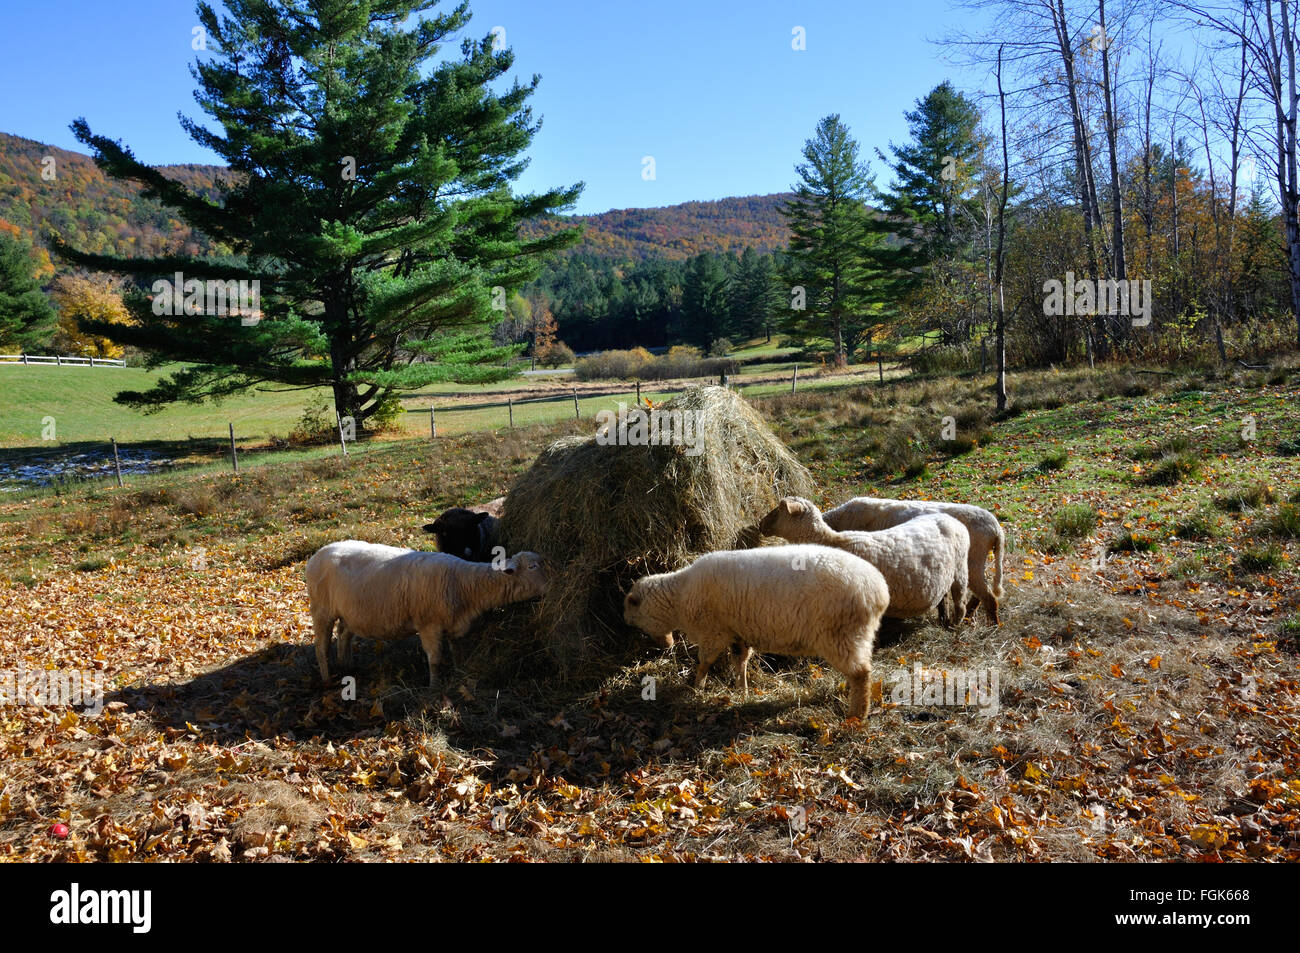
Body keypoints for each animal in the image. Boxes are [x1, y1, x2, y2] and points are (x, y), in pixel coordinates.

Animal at [305, 540, 547, 686]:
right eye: (533, 567)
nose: (551, 583)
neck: (464, 583)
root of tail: (317, 554)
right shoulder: (429, 625)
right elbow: (435, 659)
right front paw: (434, 686)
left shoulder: (453, 624)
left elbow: (457, 651)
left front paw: (459, 672)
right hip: (321, 610)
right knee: (321, 646)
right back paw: (327, 679)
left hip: (348, 612)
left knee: (343, 635)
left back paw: (347, 666)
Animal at [623, 545, 890, 719]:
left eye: (636, 621)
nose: (666, 646)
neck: (678, 597)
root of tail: (879, 591)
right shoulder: (738, 633)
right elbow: (739, 662)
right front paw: (742, 690)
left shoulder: (713, 633)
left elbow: (704, 662)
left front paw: (697, 686)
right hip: (855, 635)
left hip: (841, 635)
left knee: (861, 674)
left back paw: (857, 715)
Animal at [759, 496, 970, 627]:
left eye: (779, 509)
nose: (760, 524)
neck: (830, 542)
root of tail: (949, 518)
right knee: (943, 598)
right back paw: (943, 620)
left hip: (960, 571)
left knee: (960, 603)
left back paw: (954, 625)